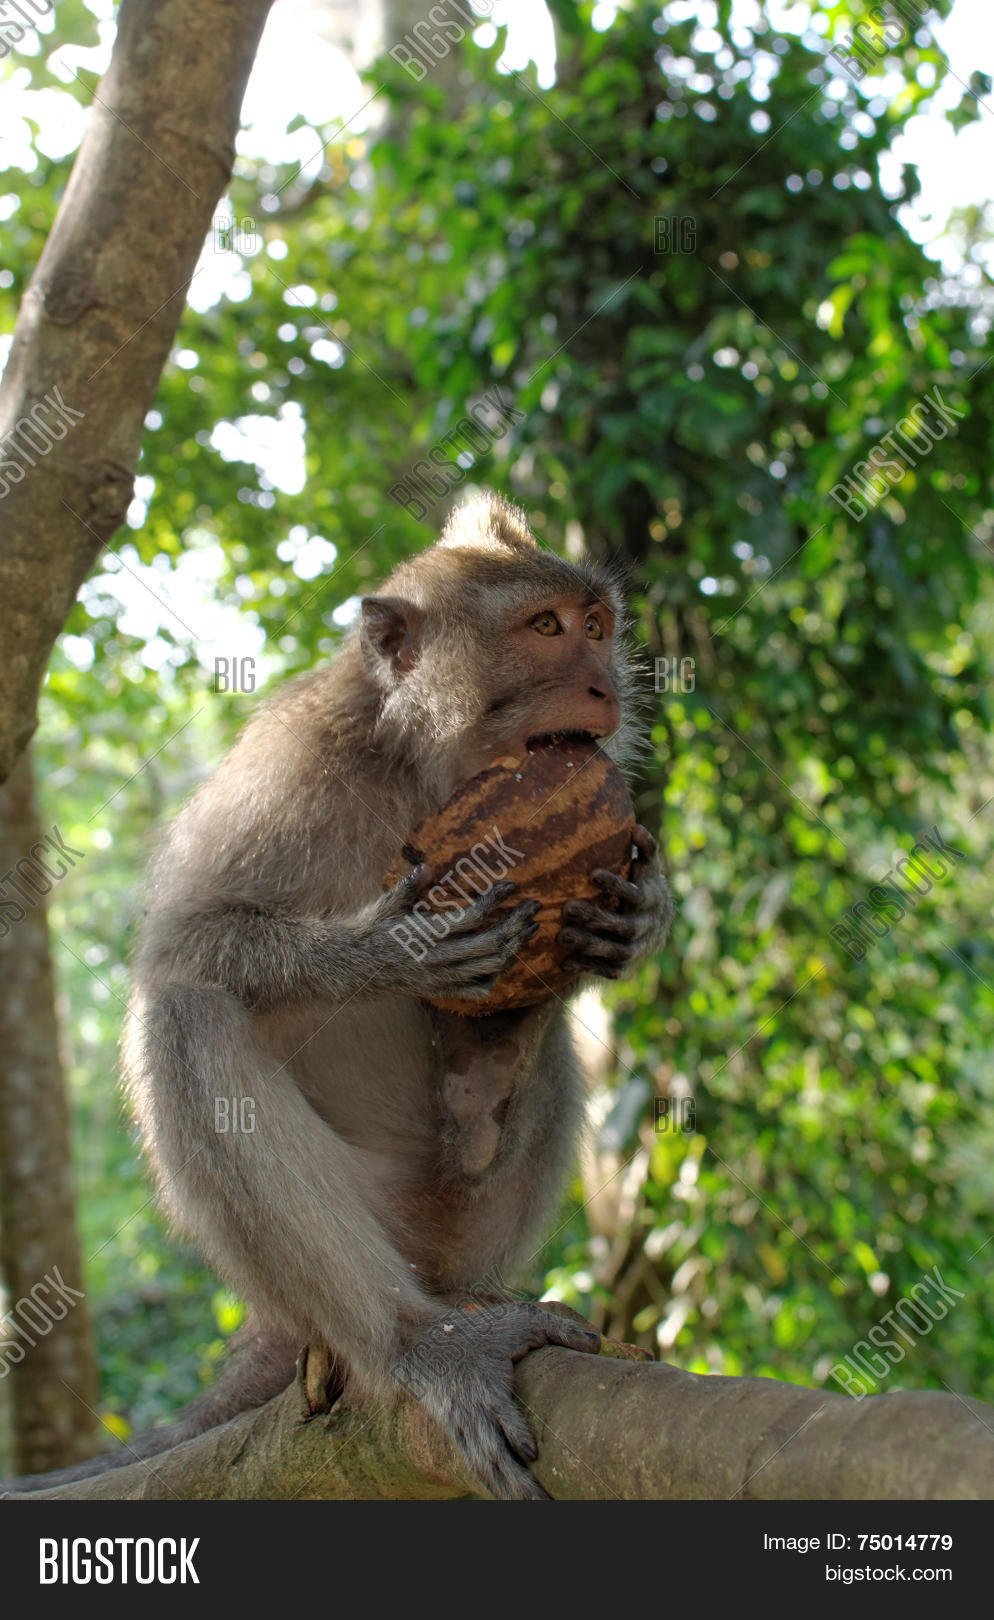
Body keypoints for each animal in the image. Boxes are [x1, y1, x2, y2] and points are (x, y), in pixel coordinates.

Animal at [5, 492, 673, 1501]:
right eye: (546, 629)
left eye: (598, 628)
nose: (606, 689)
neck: (418, 771)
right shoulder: (297, 765)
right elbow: (184, 941)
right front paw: (390, 951)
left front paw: (643, 914)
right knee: (186, 1013)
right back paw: (421, 1344)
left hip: (454, 1231)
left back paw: (493, 1085)